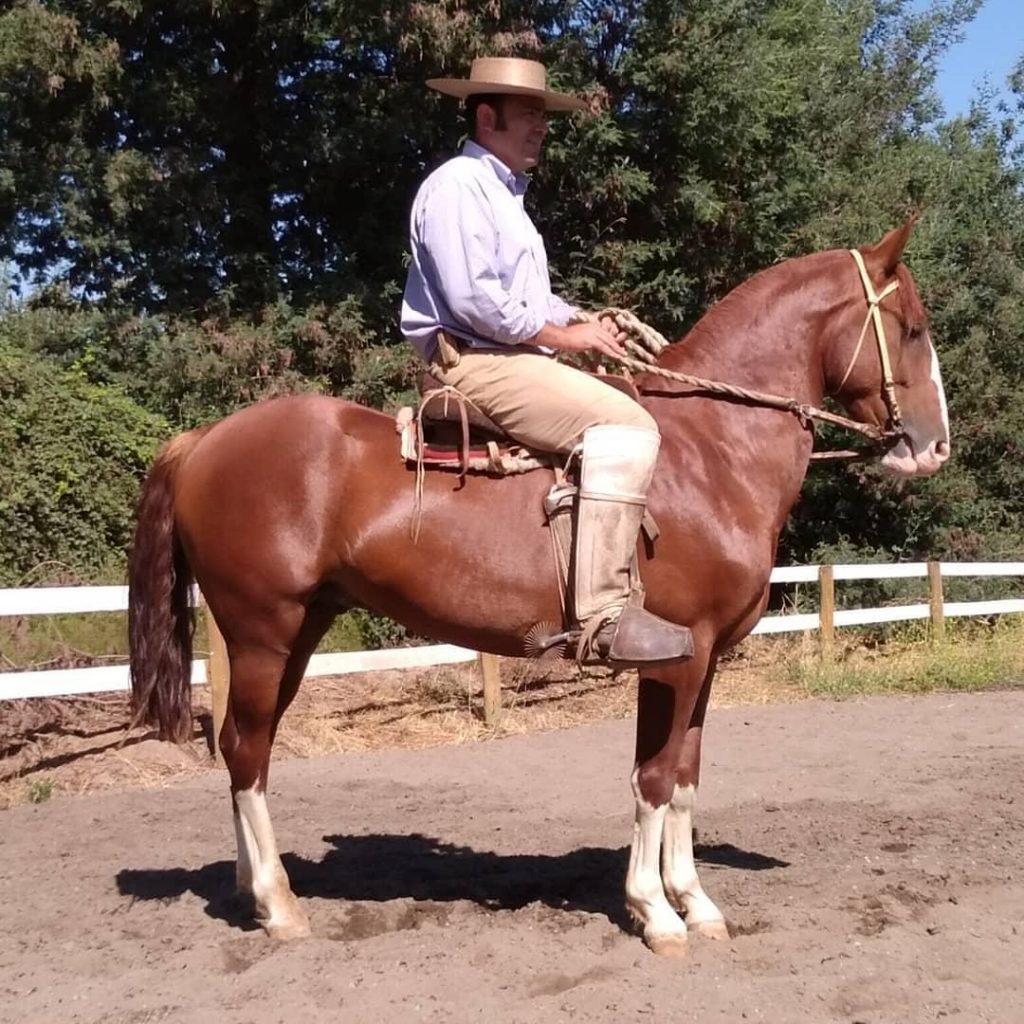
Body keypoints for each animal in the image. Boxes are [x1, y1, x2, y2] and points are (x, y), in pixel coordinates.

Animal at [128, 220, 950, 956]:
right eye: (911, 328)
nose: (934, 446)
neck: (711, 450)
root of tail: (203, 440)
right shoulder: (677, 658)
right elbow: (655, 778)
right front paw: (656, 912)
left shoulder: (703, 660)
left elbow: (684, 777)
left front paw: (696, 901)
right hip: (263, 634)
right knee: (245, 752)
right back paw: (277, 905)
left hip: (299, 633)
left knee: (250, 748)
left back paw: (253, 889)